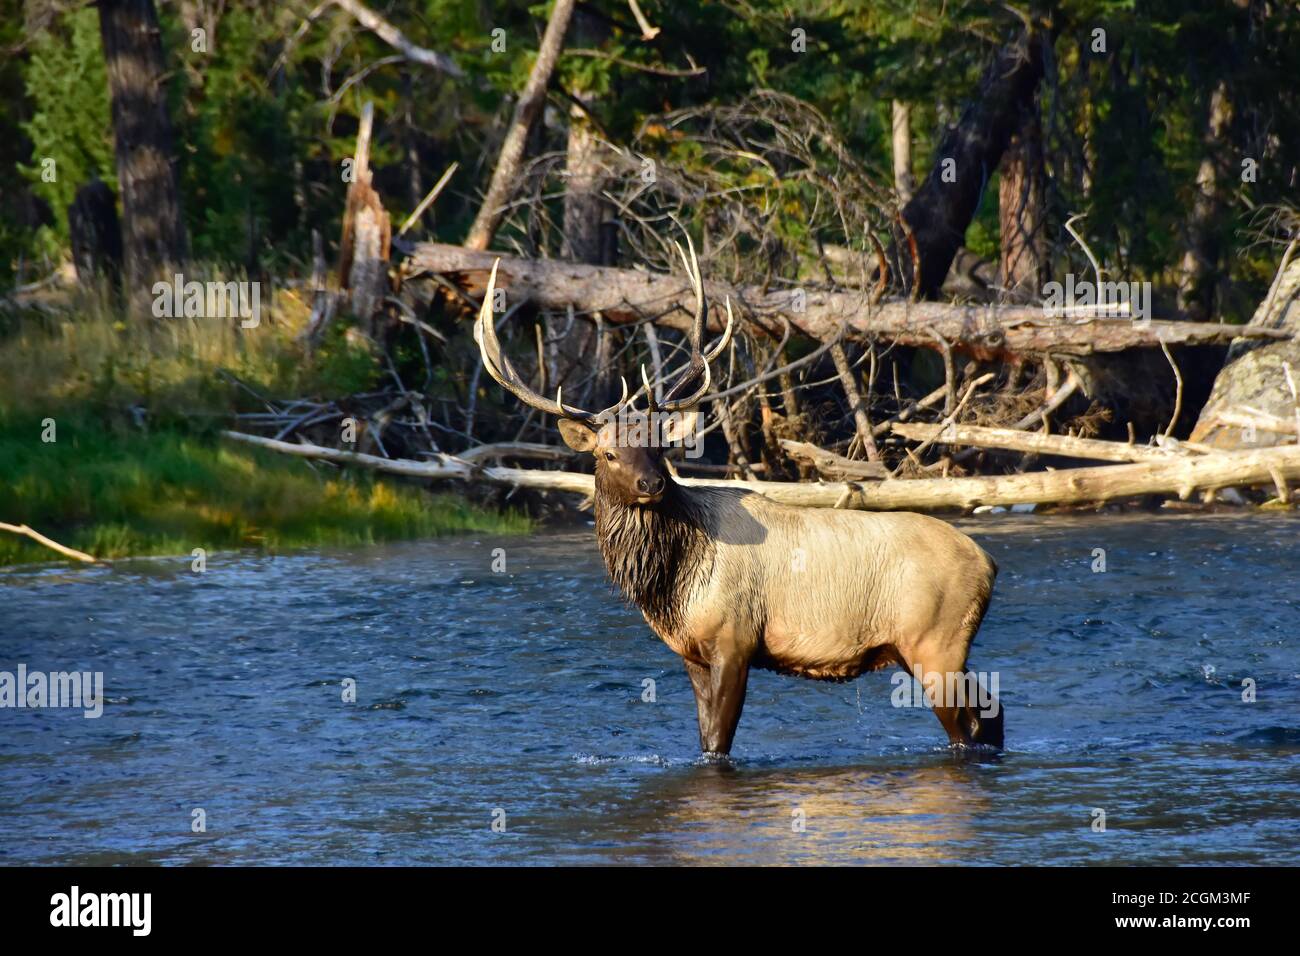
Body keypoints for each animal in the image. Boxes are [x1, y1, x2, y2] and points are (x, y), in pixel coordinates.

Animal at [473, 236, 1003, 757]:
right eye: (608, 453)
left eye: (659, 446)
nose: (652, 484)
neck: (670, 582)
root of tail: (989, 564)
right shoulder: (691, 651)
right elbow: (706, 735)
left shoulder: (735, 638)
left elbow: (719, 742)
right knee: (992, 714)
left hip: (935, 643)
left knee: (967, 728)